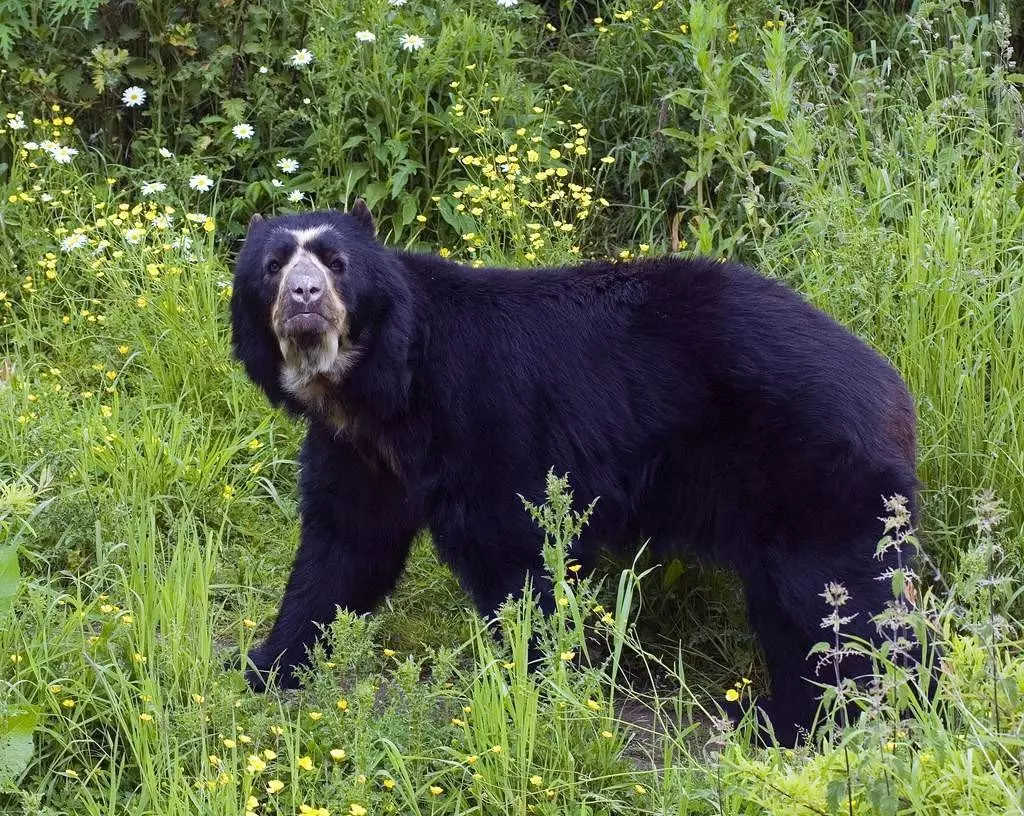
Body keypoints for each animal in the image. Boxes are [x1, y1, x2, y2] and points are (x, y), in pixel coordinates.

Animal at [230, 201, 921, 745]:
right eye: (273, 266)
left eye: (336, 261)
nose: (305, 298)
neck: (373, 389)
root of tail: (890, 386)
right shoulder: (357, 451)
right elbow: (343, 547)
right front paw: (267, 666)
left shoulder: (489, 423)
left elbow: (515, 558)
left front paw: (526, 686)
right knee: (800, 612)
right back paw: (784, 719)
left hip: (809, 469)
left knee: (841, 601)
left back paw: (855, 717)